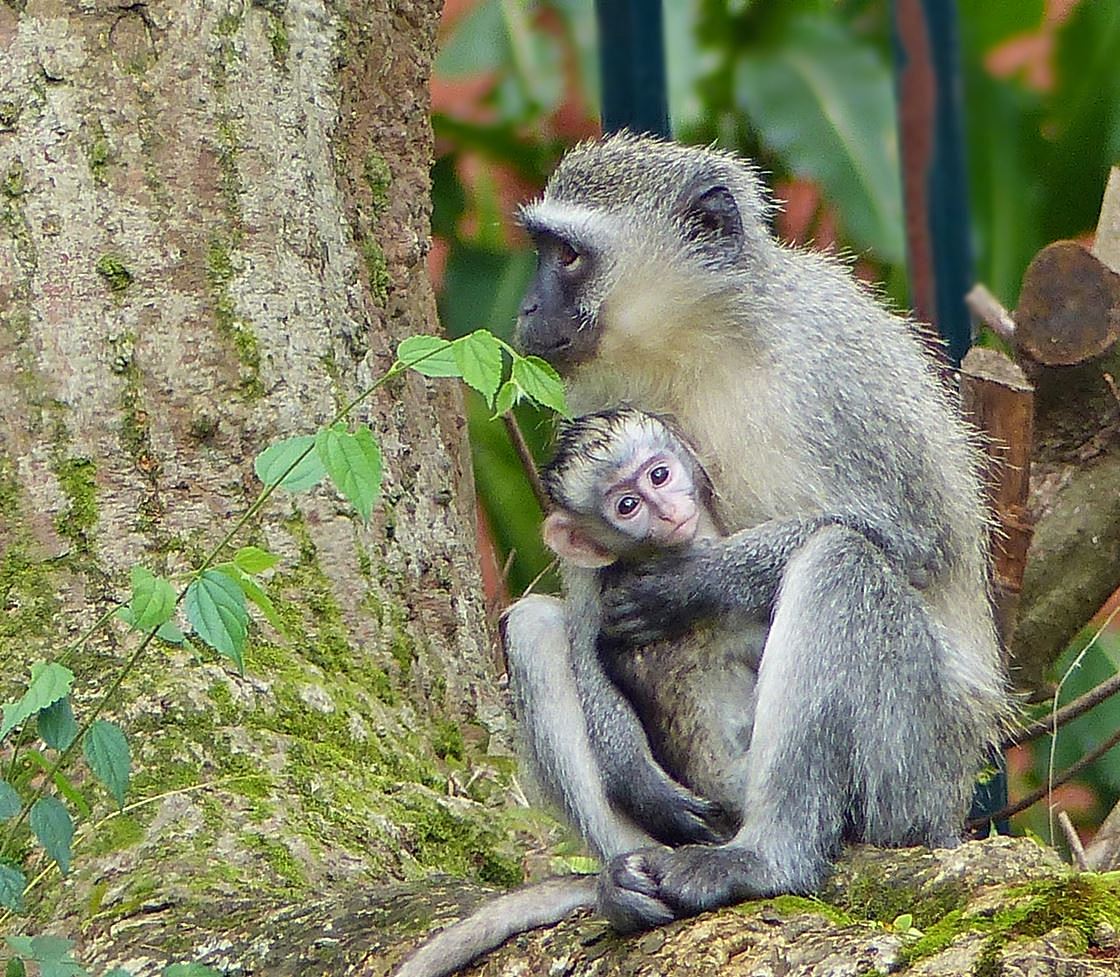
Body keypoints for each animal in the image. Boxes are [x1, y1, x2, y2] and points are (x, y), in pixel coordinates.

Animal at [500, 131, 1010, 934]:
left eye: (569, 256)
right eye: (544, 250)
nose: (526, 306)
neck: (703, 343)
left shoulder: (834, 374)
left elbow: (912, 542)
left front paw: (695, 582)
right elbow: (584, 600)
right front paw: (629, 766)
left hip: (914, 775)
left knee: (841, 562)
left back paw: (764, 860)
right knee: (531, 624)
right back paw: (627, 879)